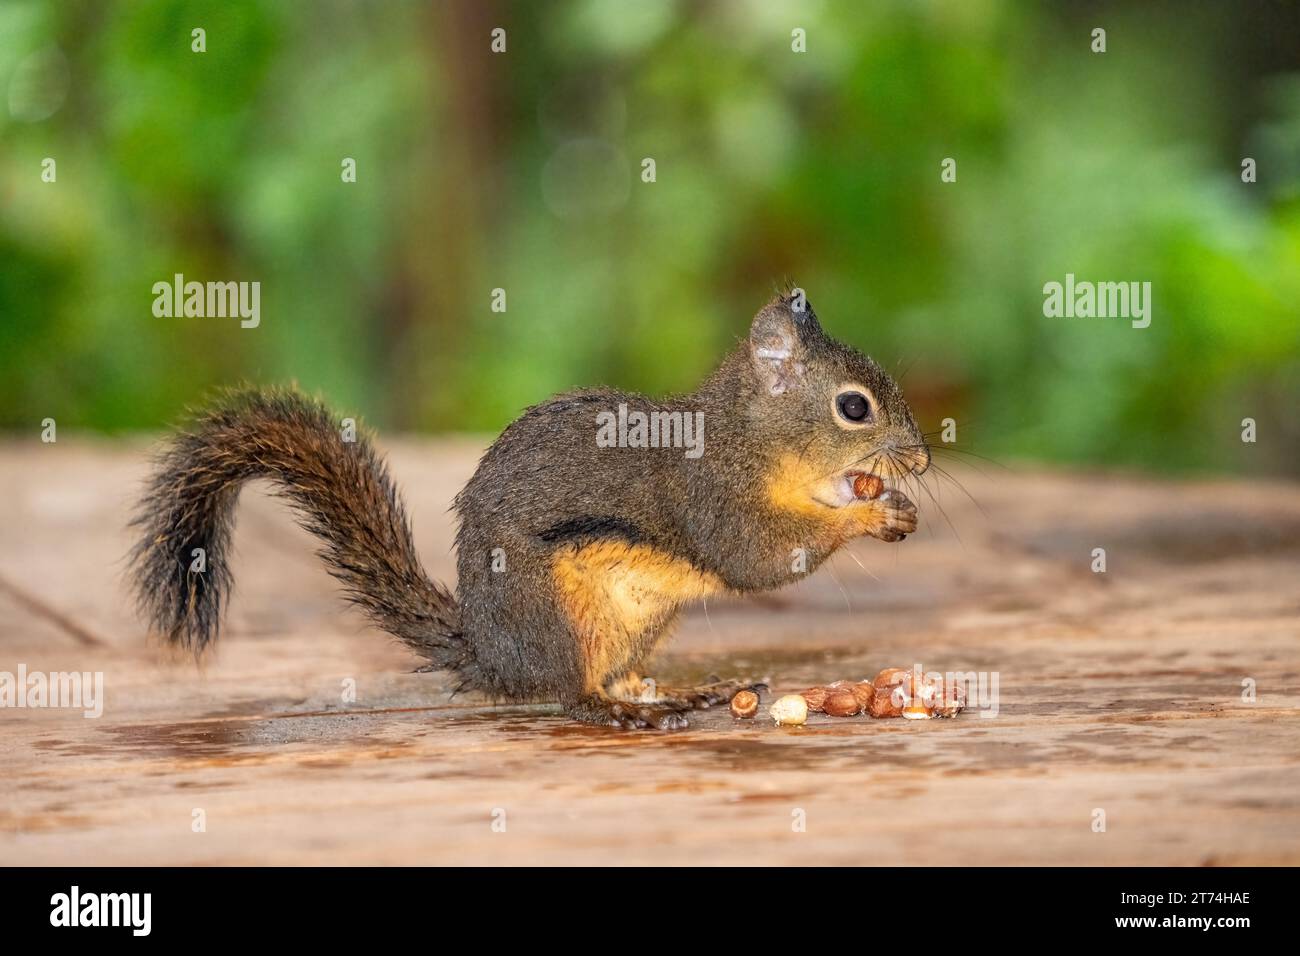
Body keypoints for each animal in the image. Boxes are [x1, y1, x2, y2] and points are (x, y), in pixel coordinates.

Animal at [129, 291, 930, 729]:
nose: (922, 460)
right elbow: (759, 558)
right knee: (571, 696)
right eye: (854, 407)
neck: (748, 438)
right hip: (552, 612)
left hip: (634, 625)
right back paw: (625, 713)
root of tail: (497, 658)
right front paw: (874, 517)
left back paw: (684, 693)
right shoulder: (714, 498)